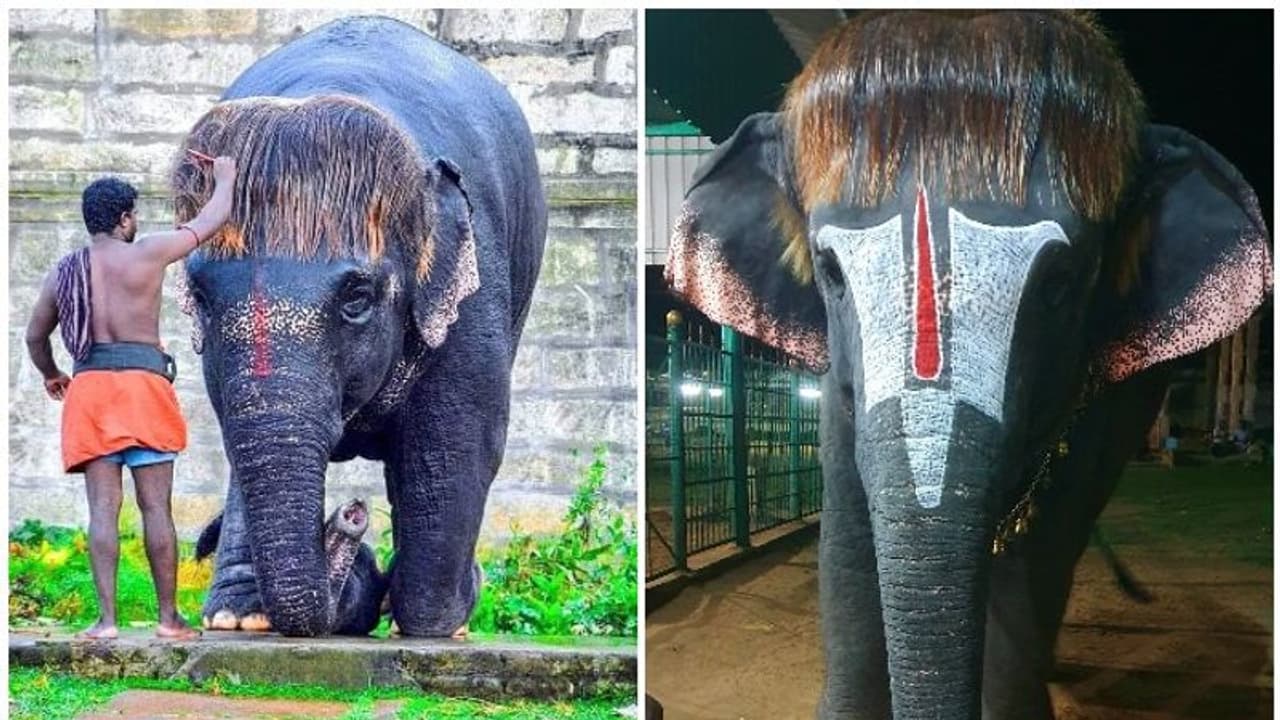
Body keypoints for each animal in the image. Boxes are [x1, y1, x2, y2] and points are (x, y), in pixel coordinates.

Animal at [170, 16, 546, 637]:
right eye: (199, 297)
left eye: (358, 298)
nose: (350, 514)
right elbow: (235, 435)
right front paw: (238, 620)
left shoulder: (476, 286)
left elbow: (458, 440)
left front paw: (433, 622)